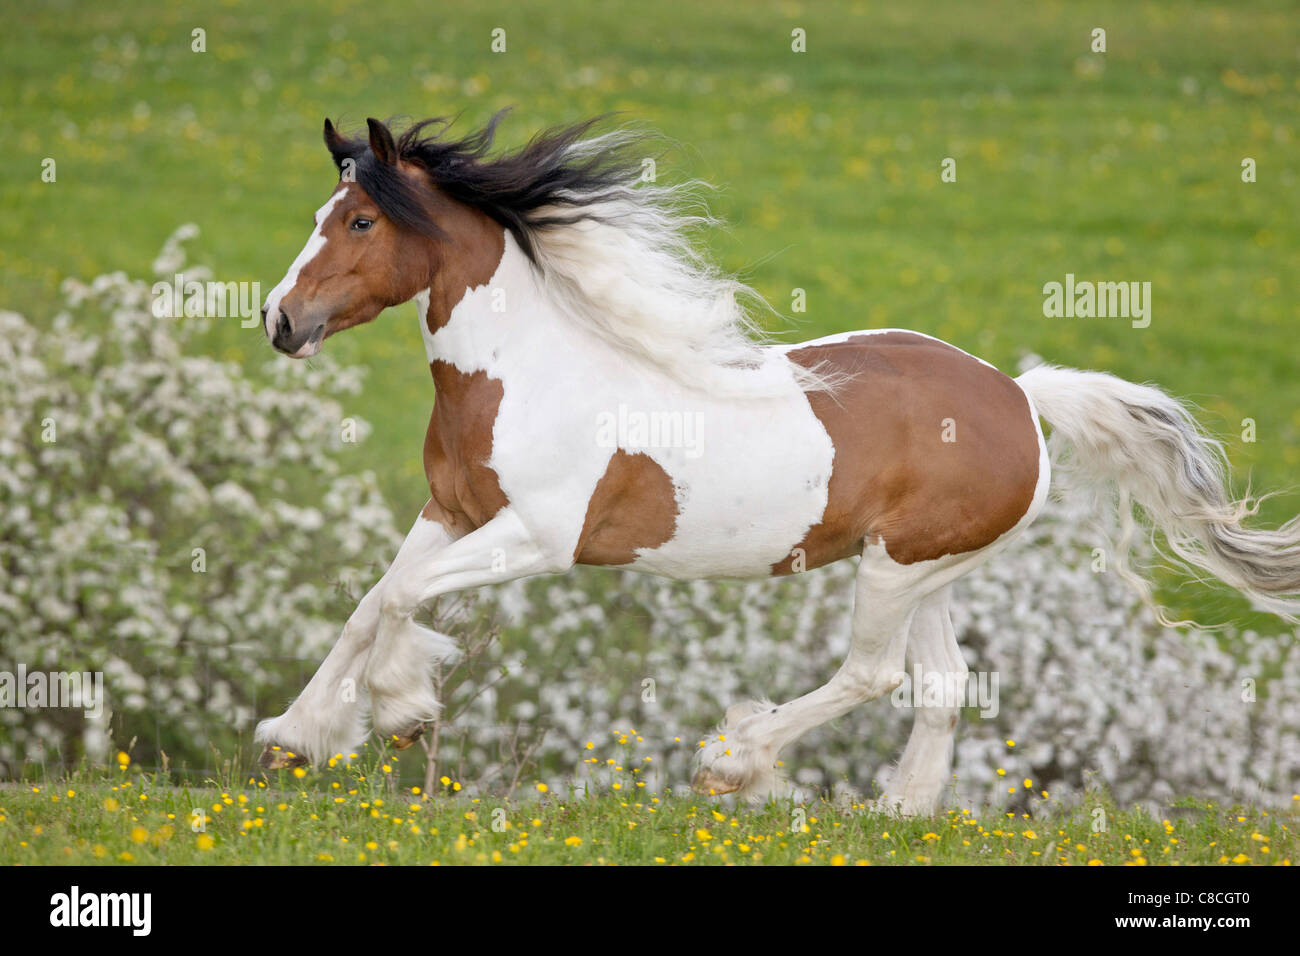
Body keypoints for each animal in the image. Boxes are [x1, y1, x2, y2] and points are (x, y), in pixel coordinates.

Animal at [254, 112, 1300, 815]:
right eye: (321, 212)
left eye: (359, 224)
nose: (278, 321)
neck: (525, 372)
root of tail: (1021, 396)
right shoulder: (454, 513)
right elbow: (372, 601)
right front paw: (294, 738)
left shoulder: (537, 538)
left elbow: (399, 600)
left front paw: (399, 708)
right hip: (931, 570)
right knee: (942, 686)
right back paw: (897, 815)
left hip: (897, 568)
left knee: (873, 676)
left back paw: (733, 761)